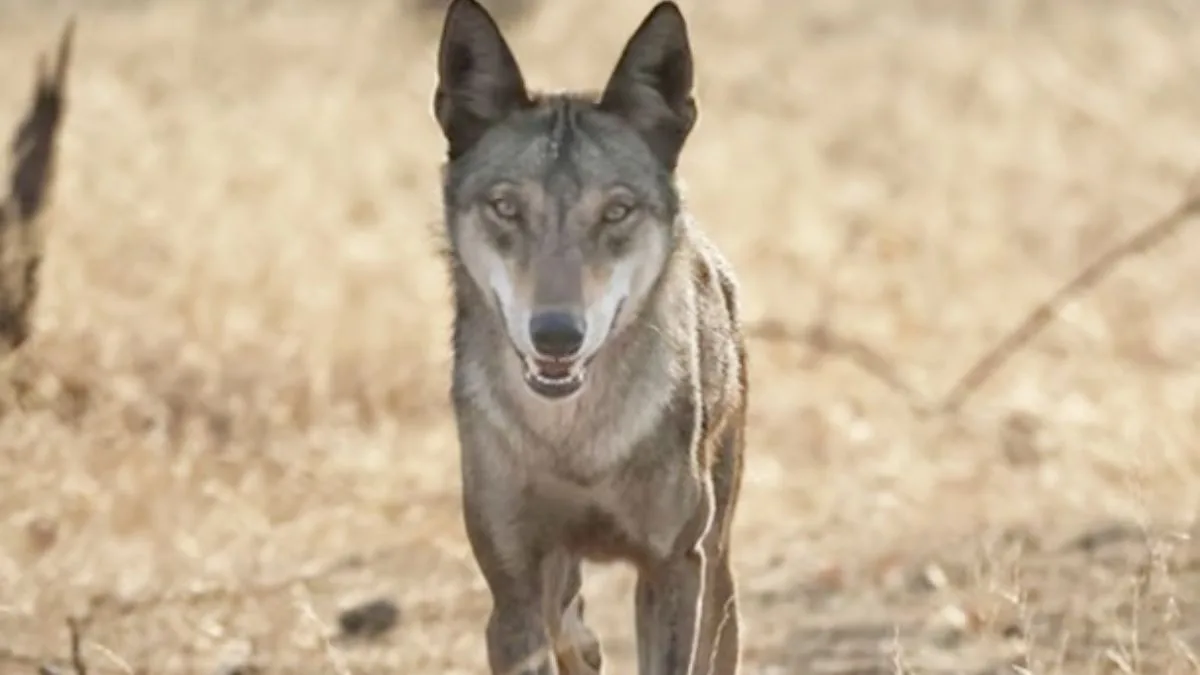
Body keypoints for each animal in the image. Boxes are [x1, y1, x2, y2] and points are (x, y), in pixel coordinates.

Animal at [432, 1, 747, 673]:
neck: (573, 443)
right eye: (505, 208)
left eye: (616, 212)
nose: (556, 335)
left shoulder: (672, 566)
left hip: (718, 559)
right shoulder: (512, 587)